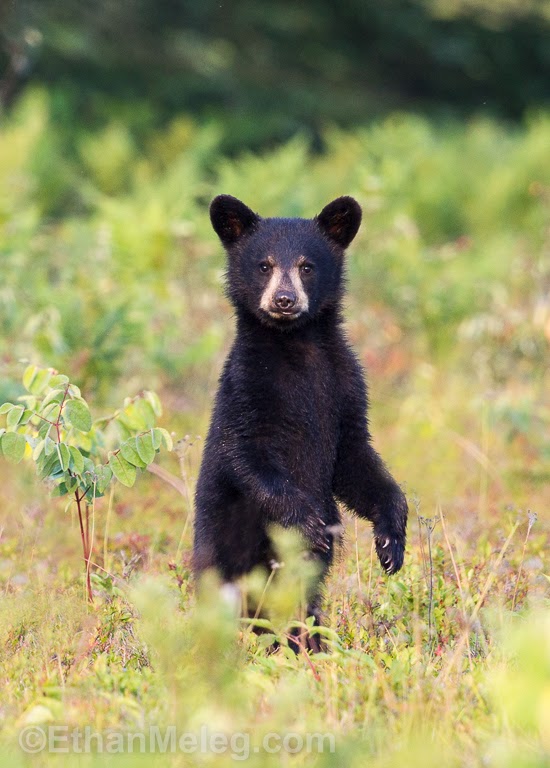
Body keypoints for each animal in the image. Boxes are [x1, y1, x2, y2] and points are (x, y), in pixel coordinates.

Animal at [193, 194, 408, 650]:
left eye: (307, 266)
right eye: (264, 265)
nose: (284, 300)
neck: (297, 346)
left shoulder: (344, 387)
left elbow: (356, 458)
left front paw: (391, 542)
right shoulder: (246, 387)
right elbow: (246, 455)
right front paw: (310, 523)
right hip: (223, 547)